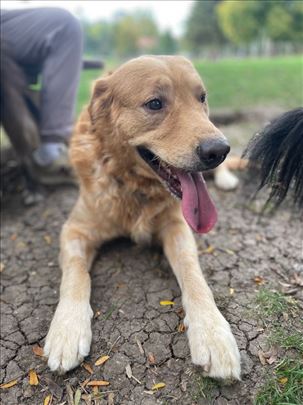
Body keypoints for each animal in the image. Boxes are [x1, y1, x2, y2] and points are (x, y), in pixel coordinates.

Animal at [44, 56, 241, 378]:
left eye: (201, 98)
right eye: (155, 103)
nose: (218, 150)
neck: (133, 186)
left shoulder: (178, 226)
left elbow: (193, 274)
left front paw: (213, 334)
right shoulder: (74, 230)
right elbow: (76, 275)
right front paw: (67, 330)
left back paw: (226, 178)